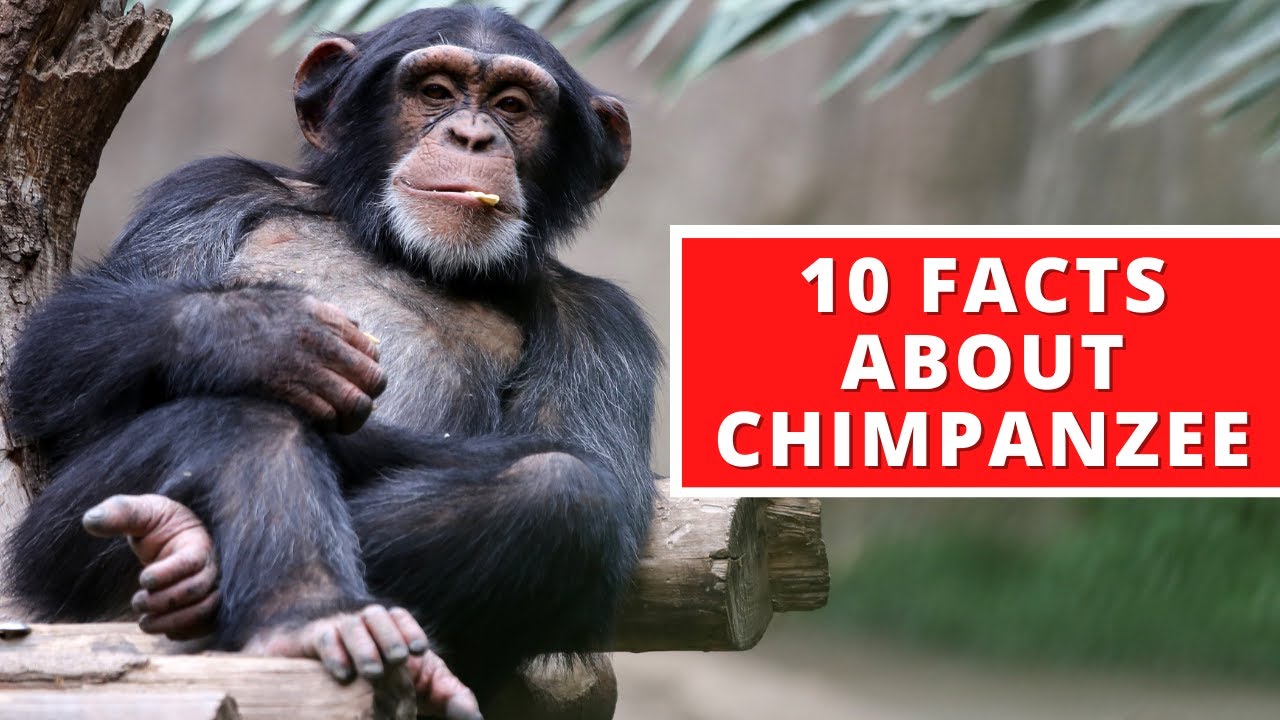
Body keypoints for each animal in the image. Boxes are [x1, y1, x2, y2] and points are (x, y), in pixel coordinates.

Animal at [3, 6, 659, 717]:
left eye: (513, 105)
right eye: (435, 91)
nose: (472, 135)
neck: (402, 248)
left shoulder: (600, 321)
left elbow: (593, 468)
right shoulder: (205, 194)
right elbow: (54, 360)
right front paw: (265, 337)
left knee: (560, 492)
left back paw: (220, 578)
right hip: (51, 543)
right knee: (243, 422)